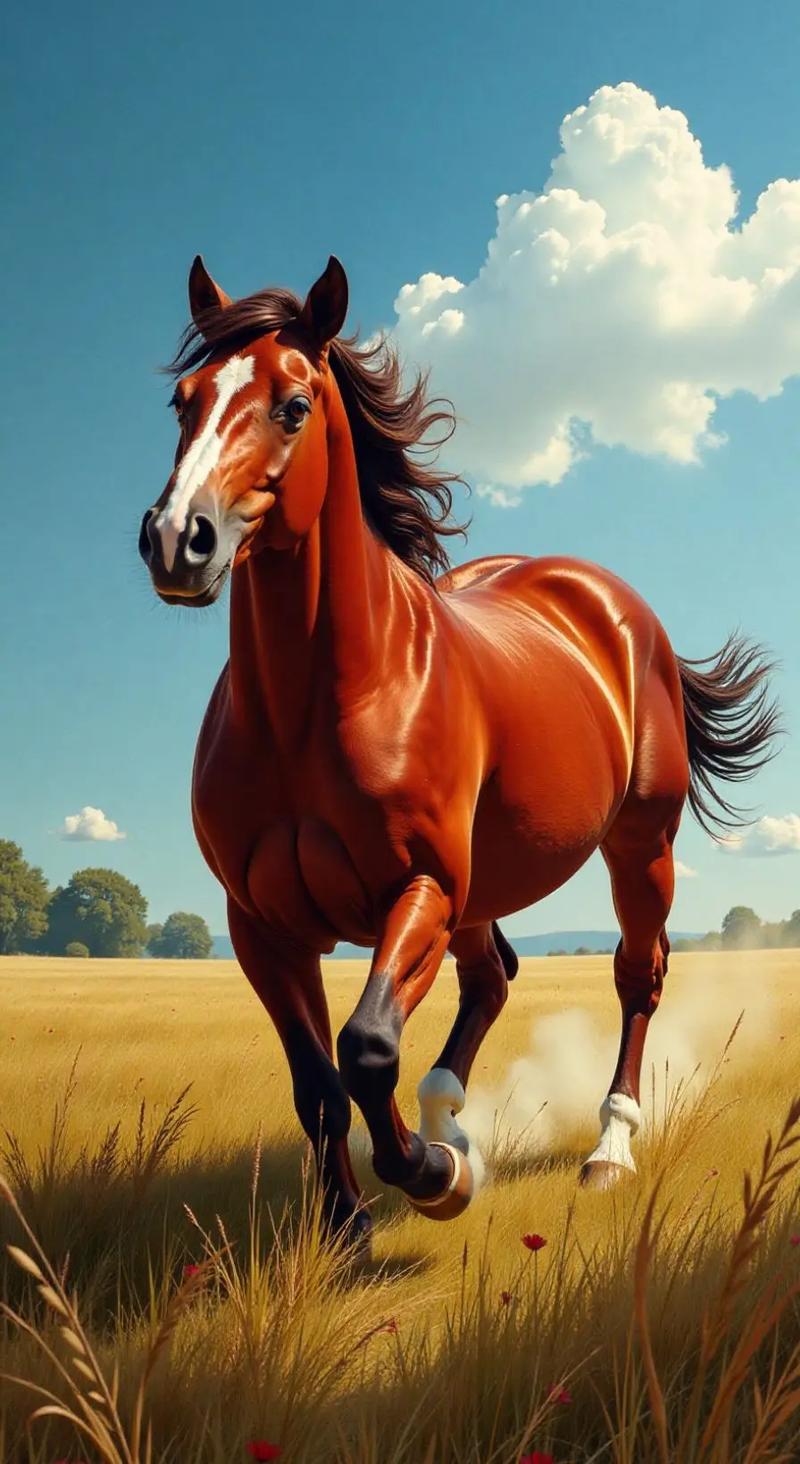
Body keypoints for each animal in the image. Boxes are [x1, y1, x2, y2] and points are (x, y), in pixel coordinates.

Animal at [139, 254, 779, 1250]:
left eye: (293, 404)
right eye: (183, 400)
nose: (178, 540)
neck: (312, 707)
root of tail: (608, 600)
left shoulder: (425, 886)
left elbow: (366, 1049)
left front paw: (435, 1178)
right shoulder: (260, 924)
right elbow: (317, 1085)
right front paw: (350, 1228)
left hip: (638, 848)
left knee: (637, 976)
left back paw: (606, 1151)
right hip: (486, 887)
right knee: (493, 981)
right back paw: (453, 1120)